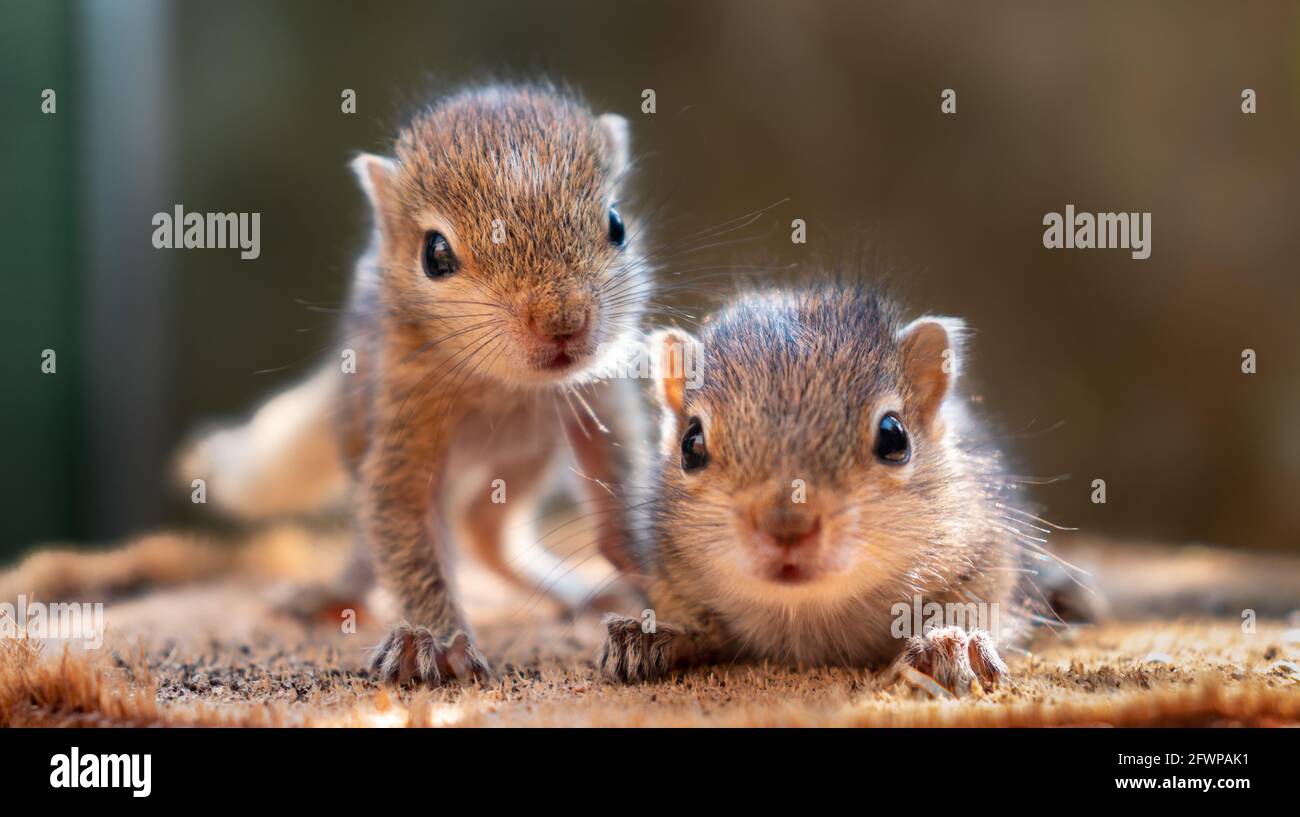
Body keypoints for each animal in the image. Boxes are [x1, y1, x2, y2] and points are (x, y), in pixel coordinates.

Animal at [181, 84, 653, 685]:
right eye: (435, 253)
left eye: (616, 224)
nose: (563, 322)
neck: (507, 384)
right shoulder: (405, 413)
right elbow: (404, 526)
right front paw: (433, 640)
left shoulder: (601, 394)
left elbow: (620, 478)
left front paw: (648, 572)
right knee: (386, 543)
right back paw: (332, 593)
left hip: (527, 456)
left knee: (484, 527)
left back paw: (576, 592)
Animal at [598, 283, 1058, 694]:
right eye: (691, 445)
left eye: (894, 437)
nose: (786, 527)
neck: (803, 611)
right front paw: (648, 634)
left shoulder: (986, 555)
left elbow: (976, 607)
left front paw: (950, 644)